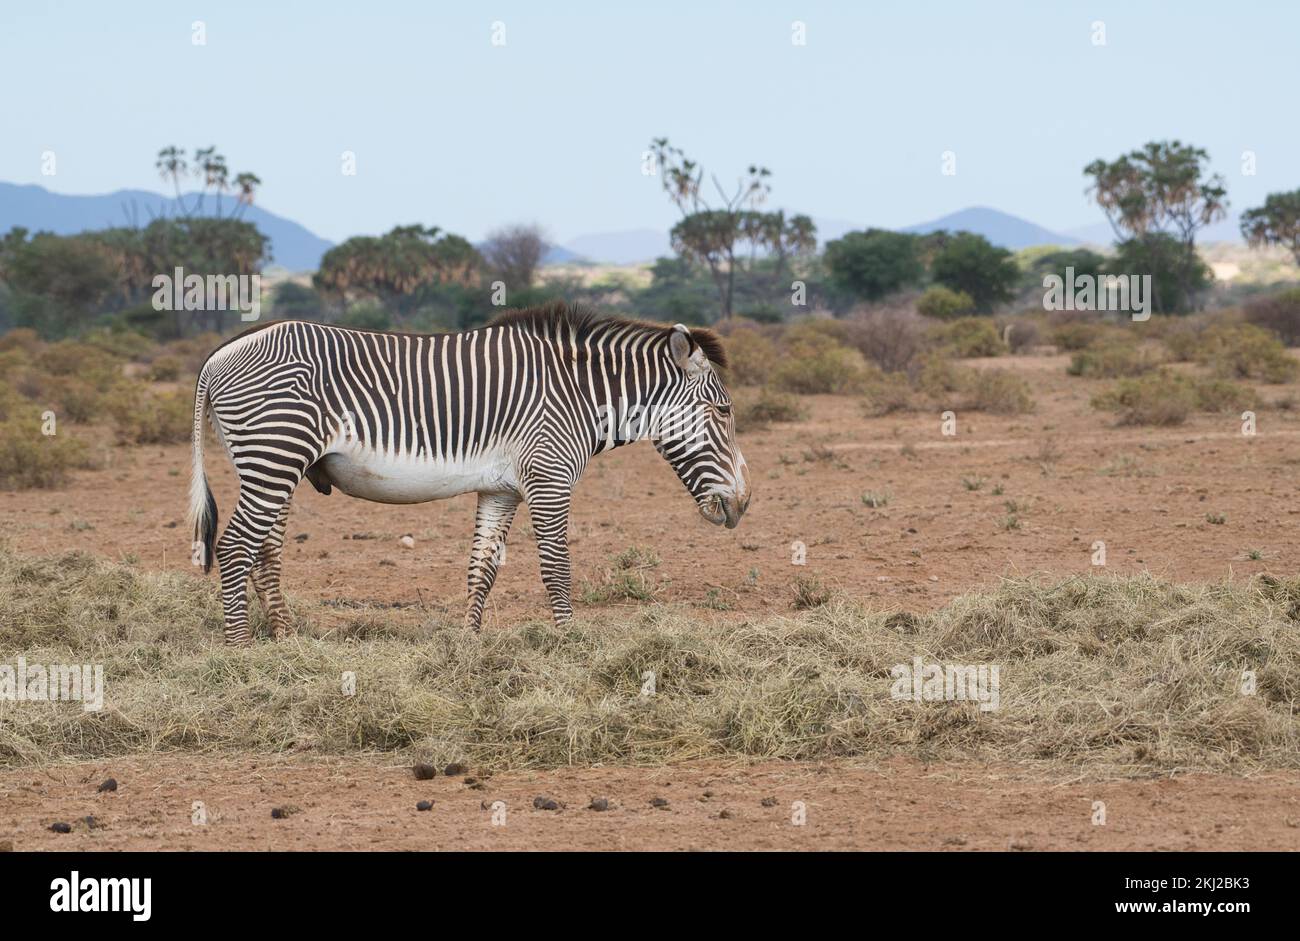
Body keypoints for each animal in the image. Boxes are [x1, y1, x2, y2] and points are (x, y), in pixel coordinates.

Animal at [187, 302, 751, 645]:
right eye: (724, 411)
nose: (743, 504)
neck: (578, 394)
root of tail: (219, 354)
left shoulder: (501, 490)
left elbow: (482, 569)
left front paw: (469, 644)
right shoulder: (548, 478)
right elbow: (557, 568)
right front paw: (570, 645)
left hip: (276, 464)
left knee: (265, 550)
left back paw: (286, 640)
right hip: (274, 455)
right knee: (235, 547)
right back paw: (242, 650)